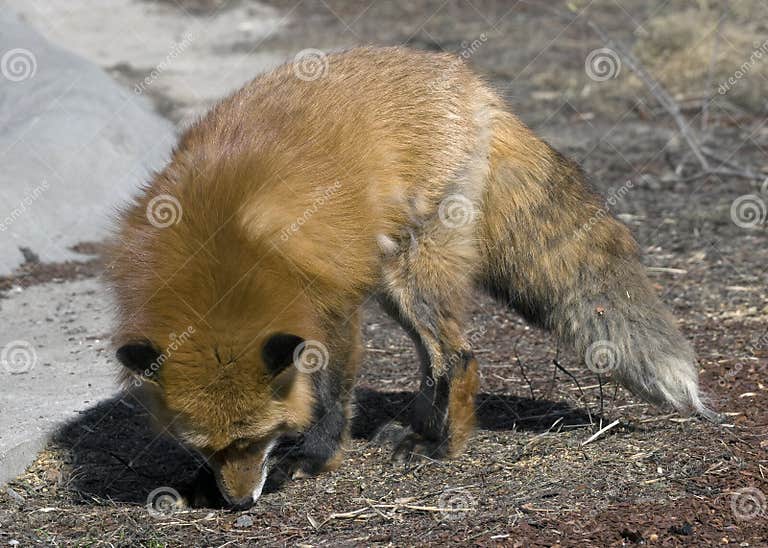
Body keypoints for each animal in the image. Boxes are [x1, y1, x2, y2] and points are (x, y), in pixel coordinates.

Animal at [108, 46, 717, 510]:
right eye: (208, 447)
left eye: (257, 438)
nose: (239, 503)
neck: (220, 249)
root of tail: (471, 81)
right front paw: (197, 483)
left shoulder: (331, 303)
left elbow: (332, 395)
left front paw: (315, 457)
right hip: (394, 286)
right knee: (433, 364)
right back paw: (422, 429)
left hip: (411, 276)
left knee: (461, 357)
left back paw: (444, 448)